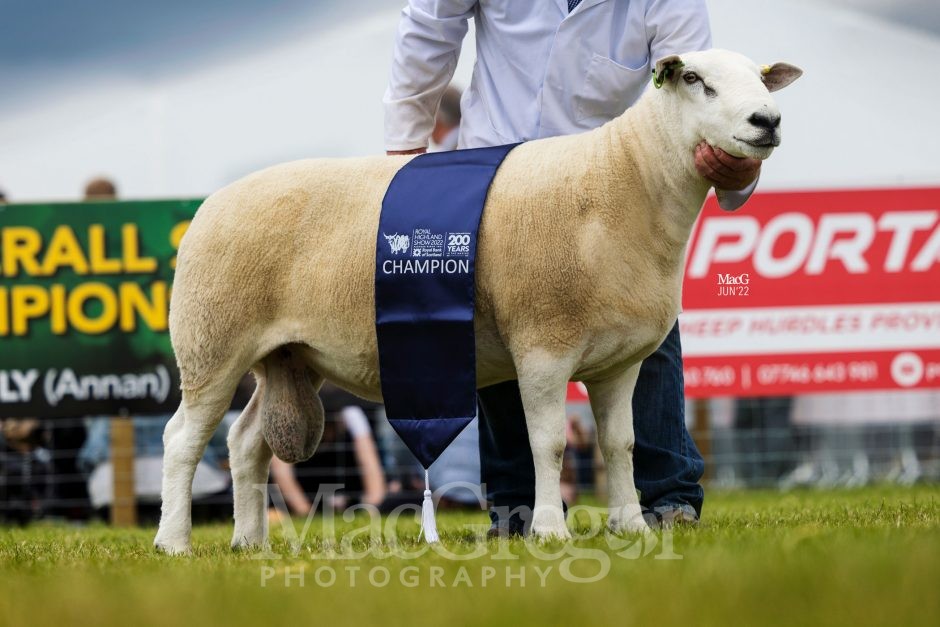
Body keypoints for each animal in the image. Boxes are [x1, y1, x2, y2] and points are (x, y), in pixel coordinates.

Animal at [154, 49, 801, 554]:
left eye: (760, 79)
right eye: (696, 80)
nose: (767, 120)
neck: (624, 180)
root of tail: (211, 204)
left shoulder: (620, 362)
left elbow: (622, 445)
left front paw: (634, 529)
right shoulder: (542, 344)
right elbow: (550, 443)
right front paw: (549, 532)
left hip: (290, 354)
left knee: (243, 443)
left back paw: (249, 542)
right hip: (213, 342)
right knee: (182, 440)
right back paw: (174, 542)